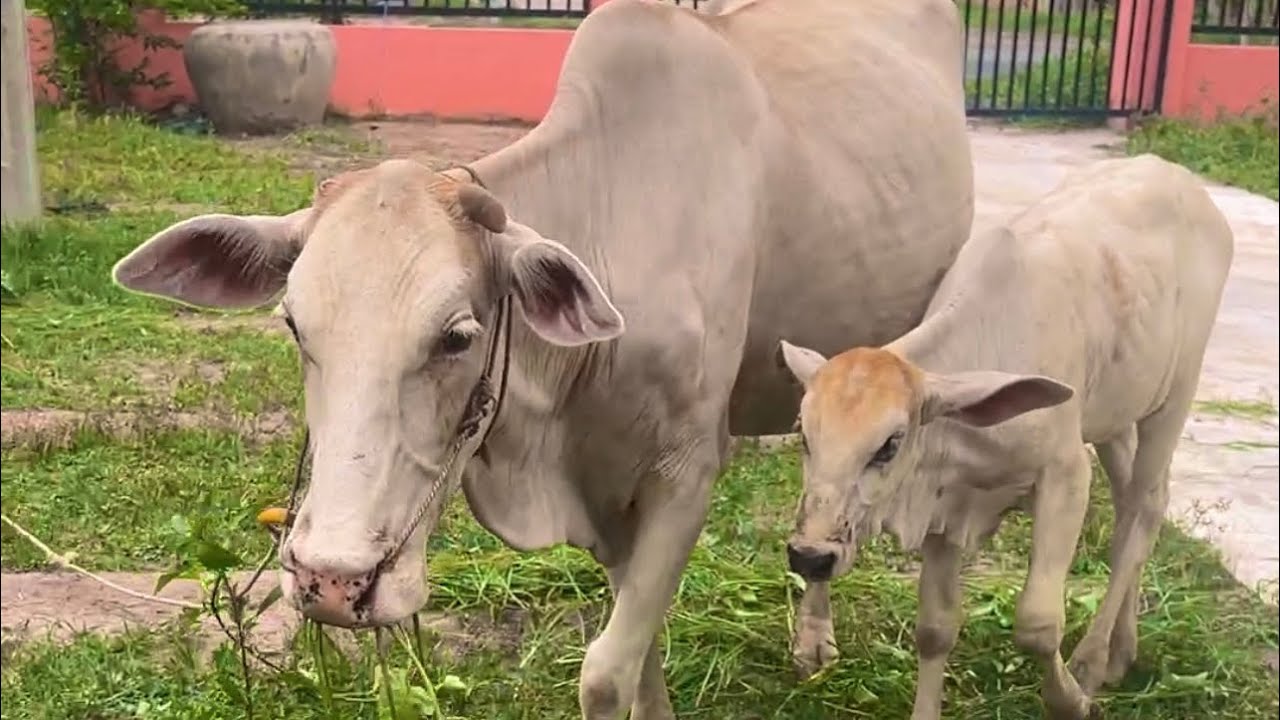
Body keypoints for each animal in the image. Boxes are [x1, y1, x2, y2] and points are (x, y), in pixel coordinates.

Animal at [109, 0, 974, 716]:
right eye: (295, 325)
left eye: (456, 337)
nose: (332, 580)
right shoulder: (610, 503)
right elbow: (639, 654)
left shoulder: (688, 474)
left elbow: (606, 672)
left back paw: (815, 638)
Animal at [778, 154, 1234, 720]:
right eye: (804, 434)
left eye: (889, 444)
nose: (810, 556)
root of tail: (1180, 177)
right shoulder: (946, 501)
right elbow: (934, 629)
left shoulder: (1066, 472)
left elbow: (1037, 624)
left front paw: (1071, 700)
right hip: (1115, 416)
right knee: (1135, 505)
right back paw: (1120, 650)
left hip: (1174, 398)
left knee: (1143, 513)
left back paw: (1092, 661)